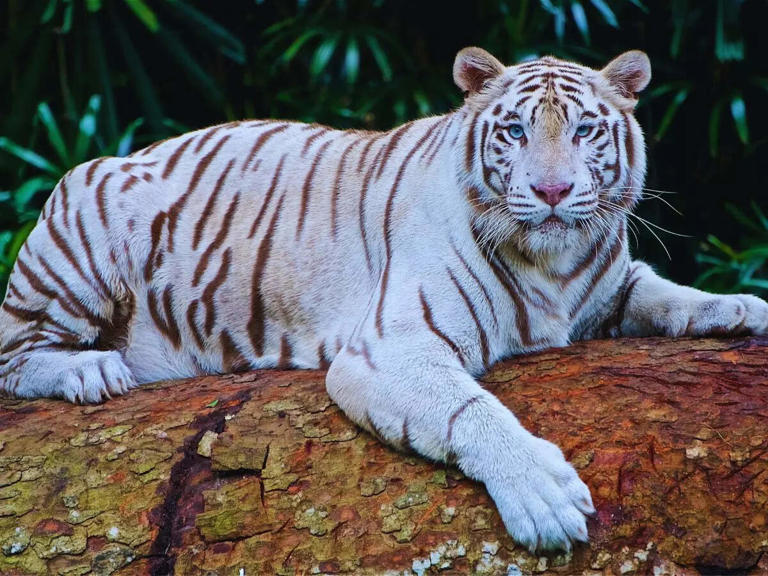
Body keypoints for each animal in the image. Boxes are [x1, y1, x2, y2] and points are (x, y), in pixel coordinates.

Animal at [1, 46, 767, 552]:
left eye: (584, 130)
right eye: (516, 130)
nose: (551, 191)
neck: (556, 265)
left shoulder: (610, 286)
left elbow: (666, 292)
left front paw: (742, 306)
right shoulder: (392, 347)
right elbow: (472, 410)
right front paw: (544, 497)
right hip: (85, 220)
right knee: (15, 353)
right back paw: (90, 370)